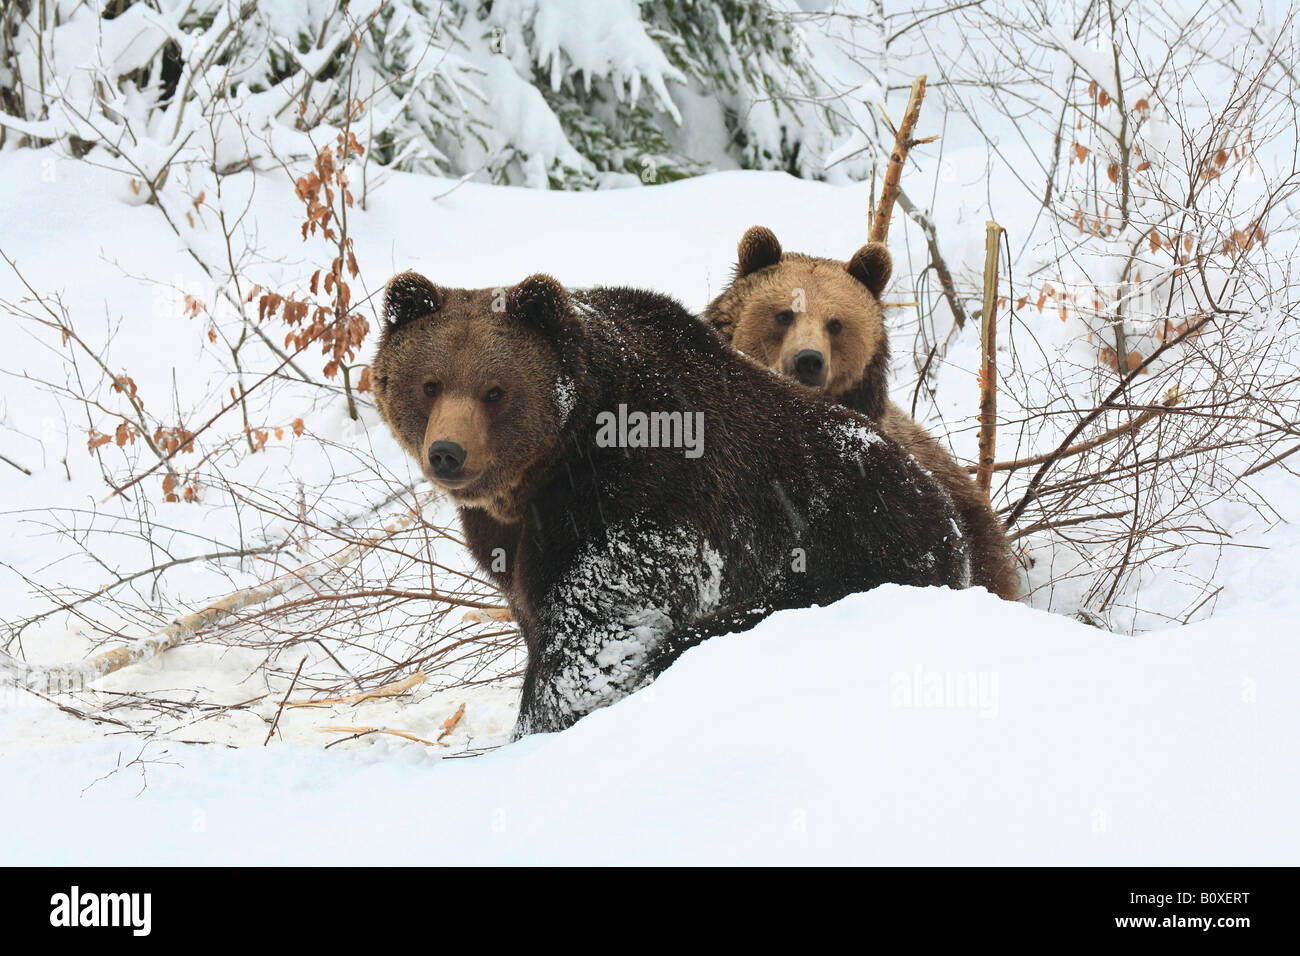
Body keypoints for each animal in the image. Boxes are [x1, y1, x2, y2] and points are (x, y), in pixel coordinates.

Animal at [372, 270, 975, 736]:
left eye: (495, 390)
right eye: (429, 384)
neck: (547, 471)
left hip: (860, 540)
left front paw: (541, 724)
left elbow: (595, 633)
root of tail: (947, 511)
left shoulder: (643, 493)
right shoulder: (507, 536)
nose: (447, 452)